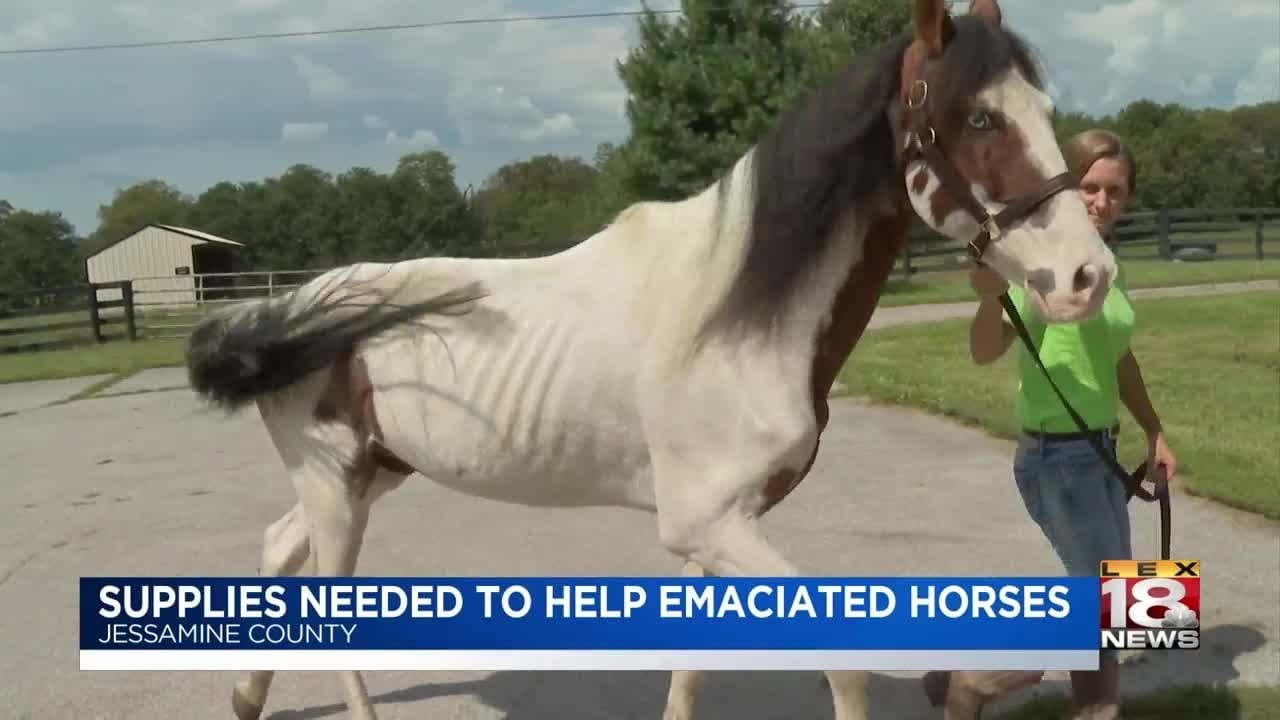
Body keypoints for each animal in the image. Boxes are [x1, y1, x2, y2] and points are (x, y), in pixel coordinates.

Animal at [184, 1, 1117, 718]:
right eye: (979, 117)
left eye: (1041, 109)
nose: (1087, 276)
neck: (736, 315)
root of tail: (287, 311)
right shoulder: (710, 522)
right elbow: (843, 667)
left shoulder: (720, 528)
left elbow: (691, 671)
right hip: (336, 484)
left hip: (369, 473)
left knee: (277, 547)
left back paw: (245, 698)